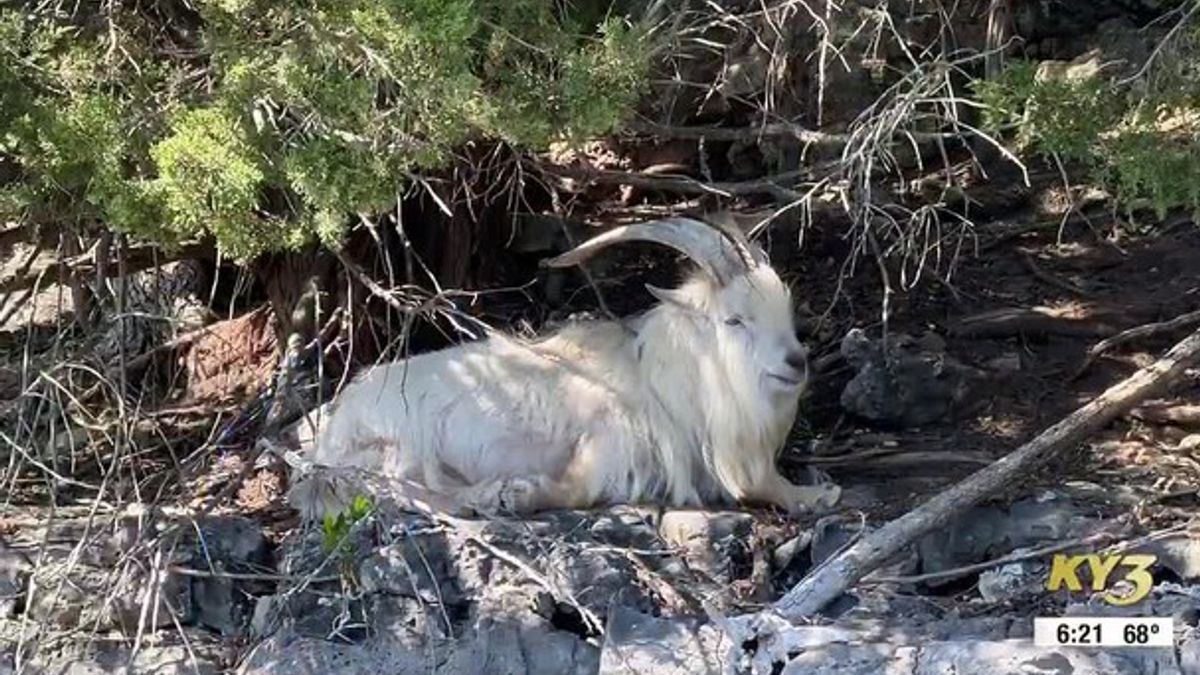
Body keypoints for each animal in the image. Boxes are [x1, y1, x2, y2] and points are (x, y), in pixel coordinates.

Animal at [288, 216, 841, 519]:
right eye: (734, 319)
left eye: (786, 311)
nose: (796, 362)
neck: (666, 384)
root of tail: (330, 431)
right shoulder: (608, 435)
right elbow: (577, 483)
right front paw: (513, 495)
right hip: (398, 445)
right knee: (393, 487)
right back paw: (475, 496)